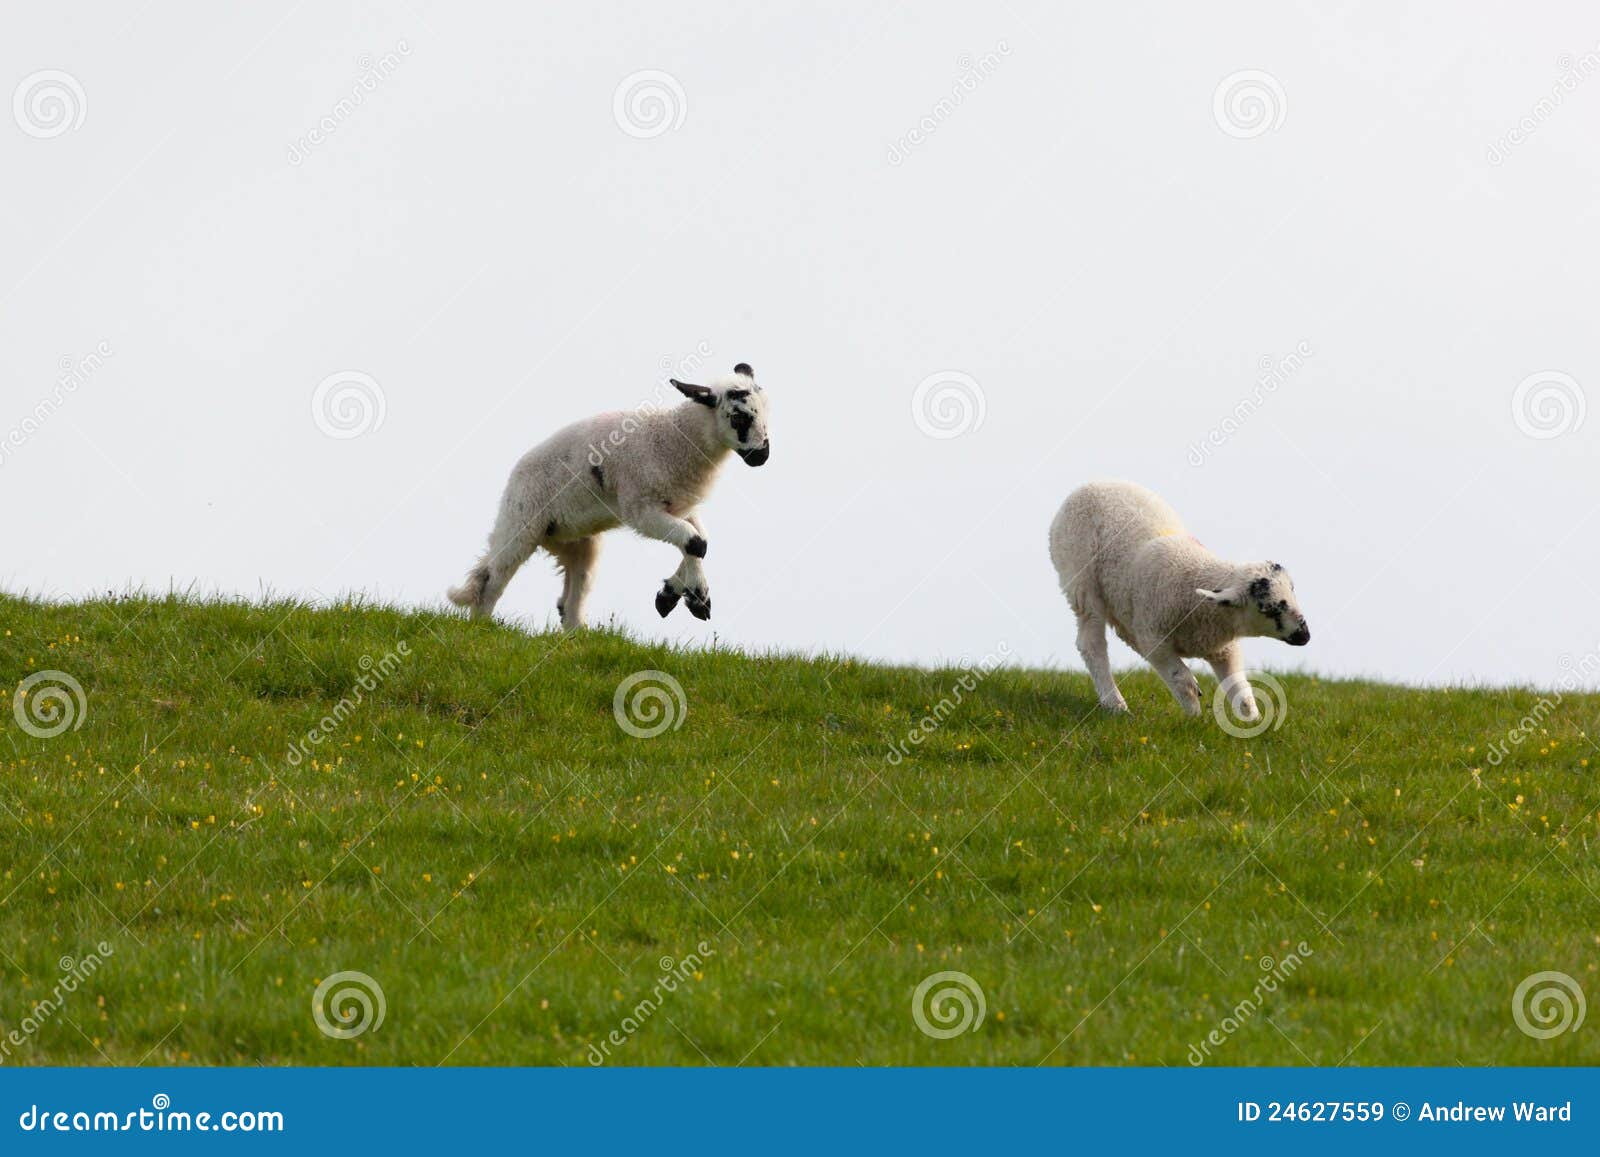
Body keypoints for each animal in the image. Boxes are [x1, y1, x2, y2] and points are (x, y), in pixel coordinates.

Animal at [448, 363, 771, 628]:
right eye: (739, 416)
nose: (762, 456)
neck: (675, 437)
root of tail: (515, 475)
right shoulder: (640, 509)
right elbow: (695, 543)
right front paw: (692, 599)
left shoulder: (679, 506)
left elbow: (697, 543)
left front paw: (679, 594)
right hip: (522, 520)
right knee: (492, 578)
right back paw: (481, 627)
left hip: (574, 540)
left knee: (571, 598)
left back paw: (577, 636)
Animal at [1048, 480, 1310, 719]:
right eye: (1268, 609)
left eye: (1293, 590)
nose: (1304, 635)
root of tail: (1089, 485)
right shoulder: (1155, 639)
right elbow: (1182, 680)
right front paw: (1194, 719)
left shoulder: (1224, 648)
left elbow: (1240, 688)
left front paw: (1252, 722)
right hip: (1080, 580)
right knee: (1091, 642)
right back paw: (1115, 704)